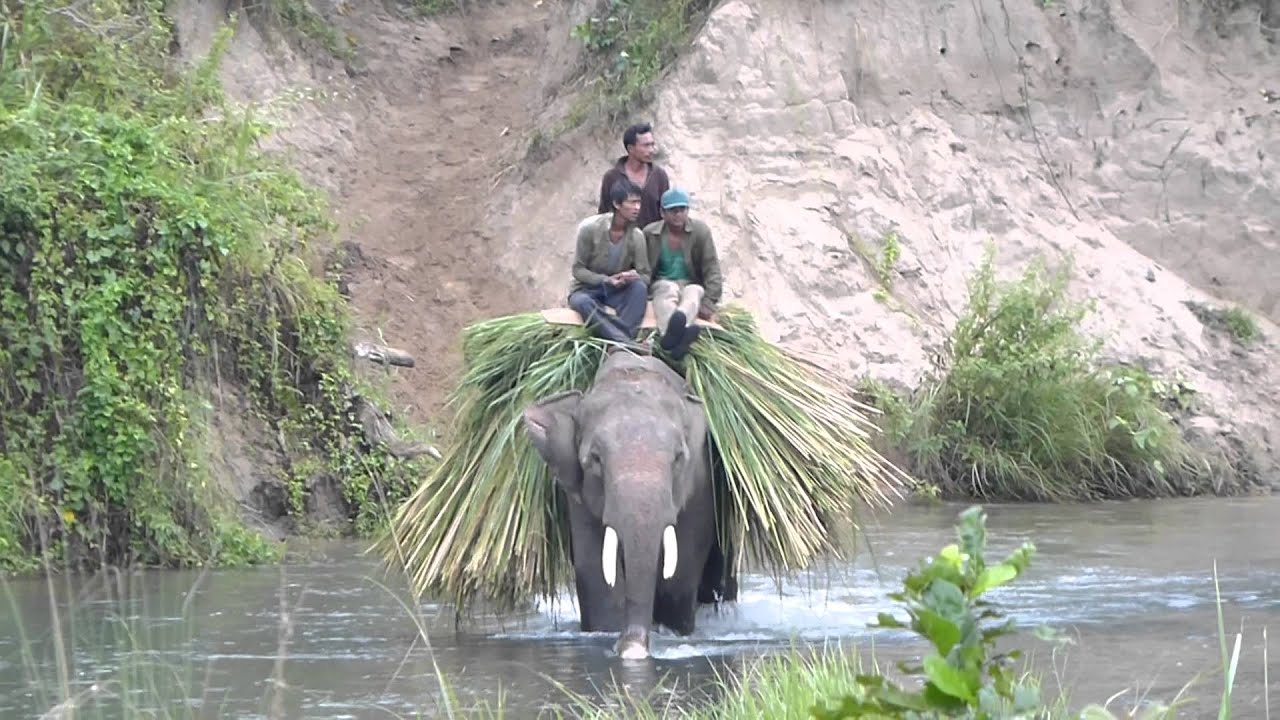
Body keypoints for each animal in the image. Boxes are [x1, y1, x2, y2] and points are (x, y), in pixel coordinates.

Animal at [521, 348, 736, 659]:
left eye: (678, 458)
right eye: (595, 459)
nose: (632, 648)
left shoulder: (701, 484)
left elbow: (680, 572)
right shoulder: (580, 498)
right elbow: (596, 574)